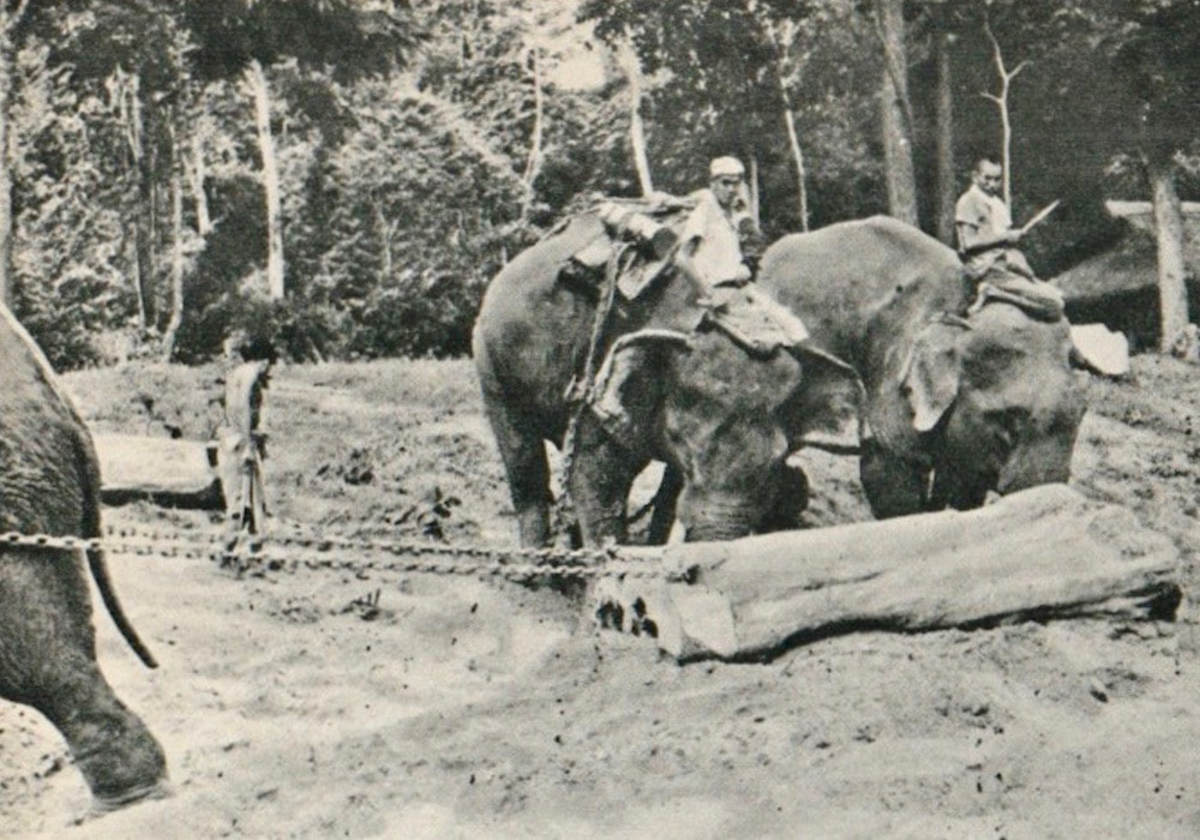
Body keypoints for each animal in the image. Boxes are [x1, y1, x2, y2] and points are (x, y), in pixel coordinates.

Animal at [472, 211, 862, 547]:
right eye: (681, 443)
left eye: (776, 463)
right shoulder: (596, 373)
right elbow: (594, 479)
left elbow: (666, 496)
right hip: (491, 365)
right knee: (525, 467)